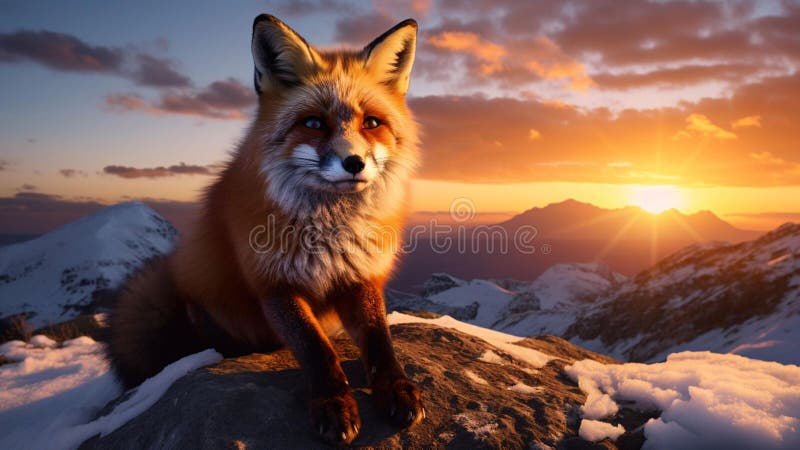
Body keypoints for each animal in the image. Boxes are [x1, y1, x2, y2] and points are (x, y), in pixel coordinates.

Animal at [108, 14, 423, 445]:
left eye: (371, 123)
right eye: (313, 123)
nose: (354, 163)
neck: (330, 232)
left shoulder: (360, 275)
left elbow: (380, 343)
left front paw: (397, 389)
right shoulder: (273, 283)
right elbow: (316, 348)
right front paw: (333, 403)